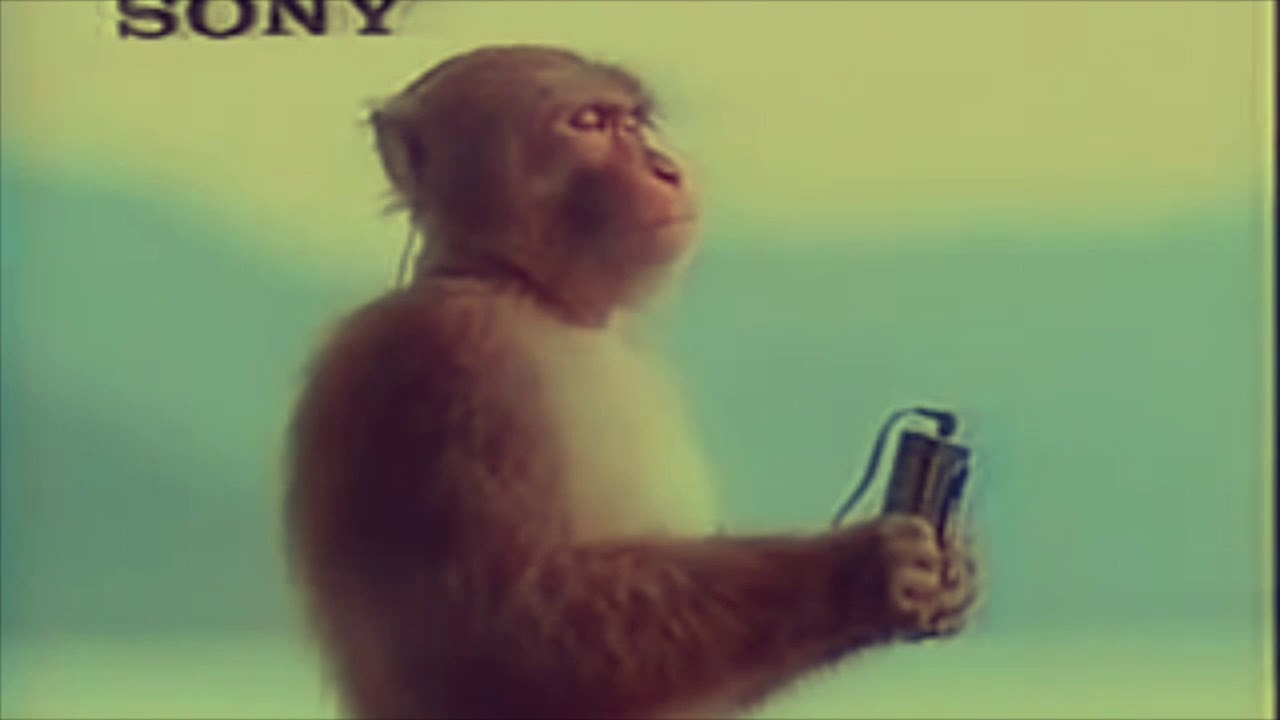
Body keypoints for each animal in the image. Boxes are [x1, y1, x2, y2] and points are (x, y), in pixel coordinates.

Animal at [285, 45, 978, 720]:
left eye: (636, 122)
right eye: (588, 122)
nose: (665, 167)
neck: (524, 292)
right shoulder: (445, 359)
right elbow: (492, 645)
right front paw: (867, 572)